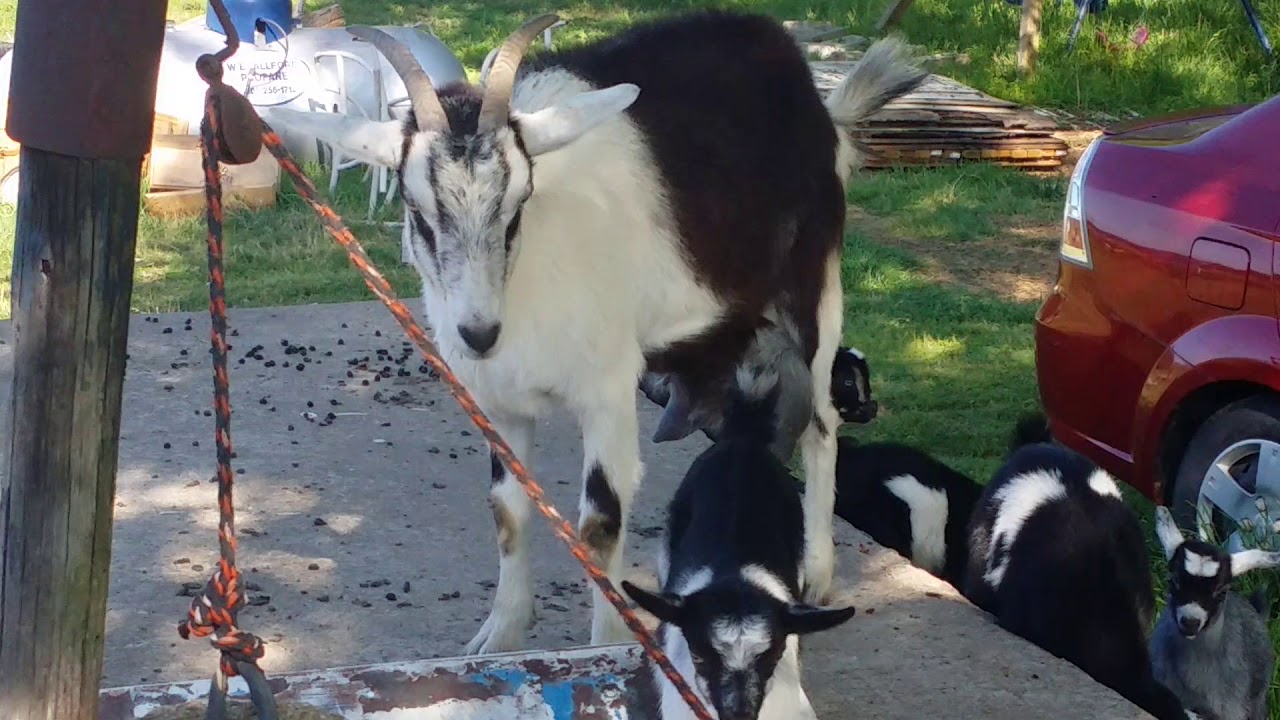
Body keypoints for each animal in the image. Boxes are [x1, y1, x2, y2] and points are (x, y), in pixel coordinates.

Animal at [266, 11, 927, 653]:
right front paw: (500, 635)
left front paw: (609, 646)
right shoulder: (497, 400)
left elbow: (600, 523)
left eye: (517, 204)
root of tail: (819, 100)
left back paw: (815, 572)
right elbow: (507, 511)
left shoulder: (606, 389)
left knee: (821, 422)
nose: (478, 331)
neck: (526, 285)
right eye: (417, 211)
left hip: (815, 287)